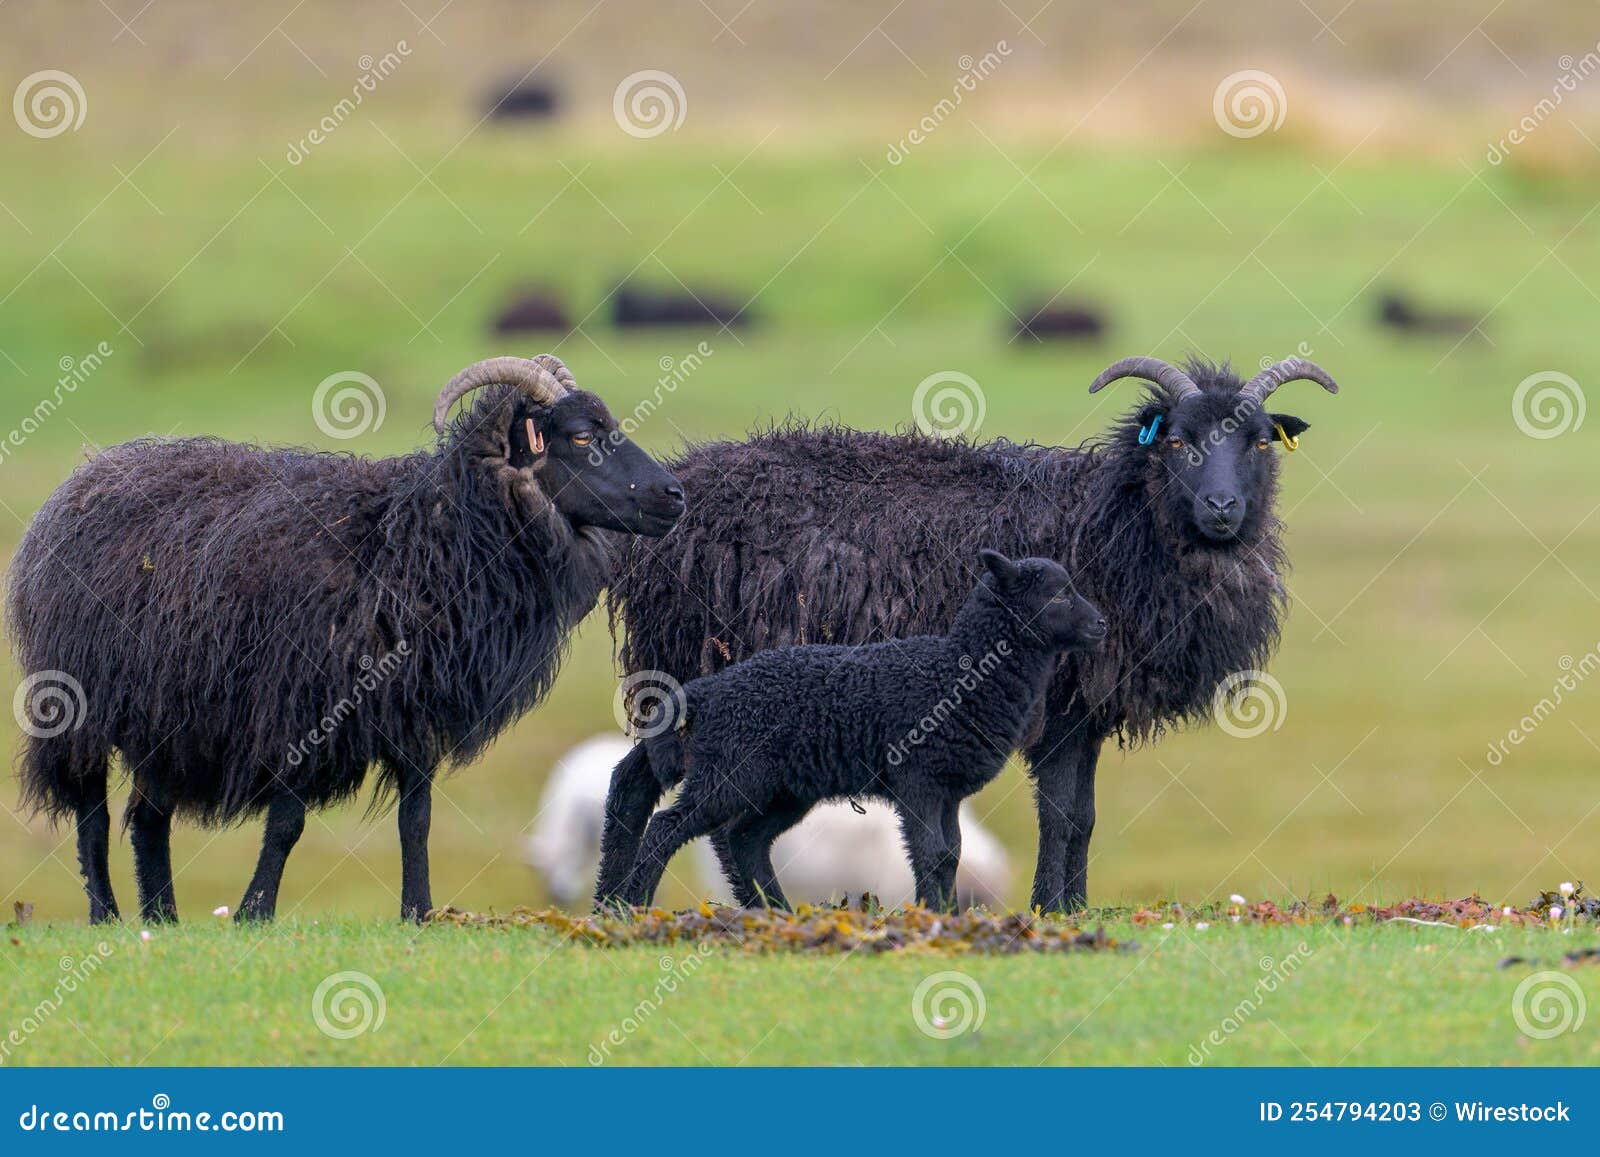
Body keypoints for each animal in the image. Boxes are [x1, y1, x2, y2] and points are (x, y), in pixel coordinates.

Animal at [7, 355, 685, 924]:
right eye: (582, 435)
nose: (674, 494)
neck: (417, 539)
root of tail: (84, 476)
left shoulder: (417, 711)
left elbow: (417, 821)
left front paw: (418, 913)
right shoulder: (301, 704)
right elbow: (287, 823)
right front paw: (255, 913)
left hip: (162, 718)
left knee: (149, 819)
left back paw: (164, 919)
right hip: (81, 706)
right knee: (92, 816)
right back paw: (107, 915)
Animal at [597, 550, 1106, 911]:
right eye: (1059, 595)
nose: (1102, 623)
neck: (959, 669)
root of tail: (708, 691)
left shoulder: (948, 787)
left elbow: (952, 855)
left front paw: (947, 915)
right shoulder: (918, 779)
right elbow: (932, 852)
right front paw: (933, 915)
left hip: (782, 789)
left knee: (746, 840)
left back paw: (778, 911)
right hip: (729, 775)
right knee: (667, 827)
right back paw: (635, 904)